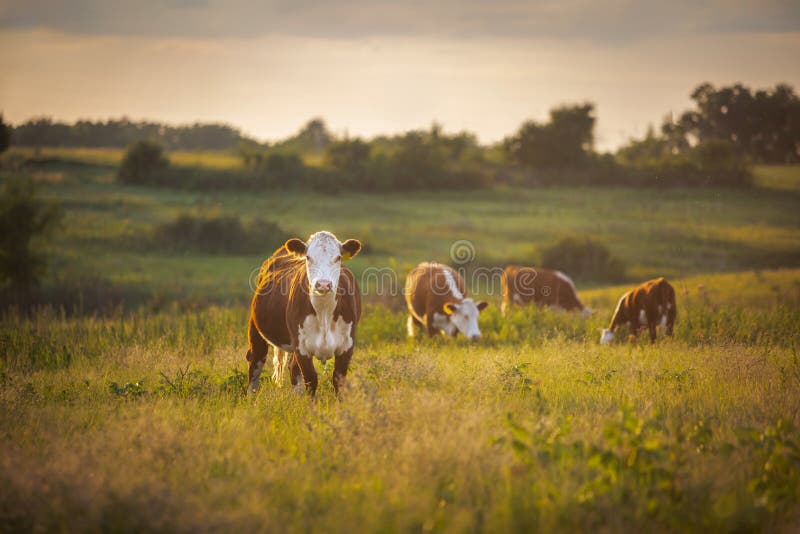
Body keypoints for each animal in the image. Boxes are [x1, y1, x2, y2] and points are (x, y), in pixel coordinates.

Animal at [246, 231, 362, 395]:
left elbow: (339, 381)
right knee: (255, 363)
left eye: (338, 257)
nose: (323, 284)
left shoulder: (347, 346)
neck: (324, 312)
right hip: (255, 329)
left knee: (293, 369)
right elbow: (311, 380)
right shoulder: (301, 348)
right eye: (308, 257)